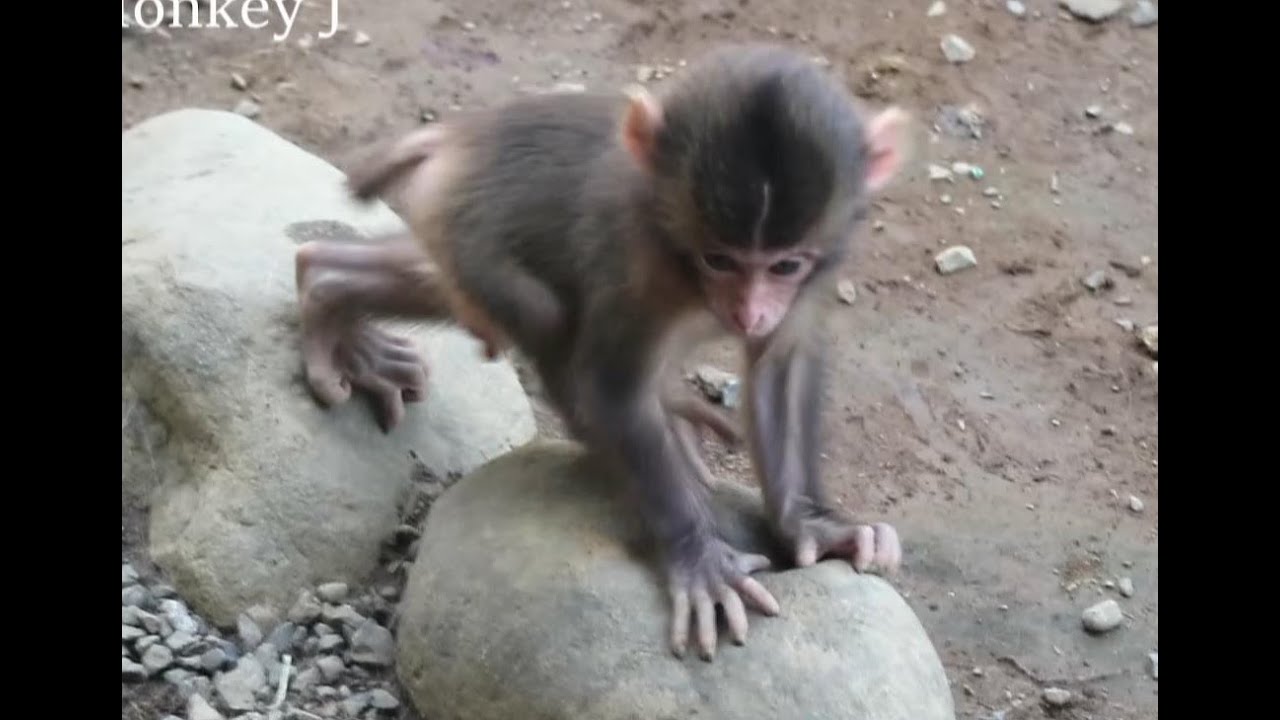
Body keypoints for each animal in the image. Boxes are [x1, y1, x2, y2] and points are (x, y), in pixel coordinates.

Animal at [294, 43, 909, 661]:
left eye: (785, 264)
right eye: (718, 259)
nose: (749, 313)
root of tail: (456, 135)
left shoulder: (816, 271)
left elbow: (780, 362)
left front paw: (812, 525)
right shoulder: (638, 256)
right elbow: (615, 392)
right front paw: (700, 560)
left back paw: (327, 285)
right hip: (459, 224)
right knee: (547, 318)